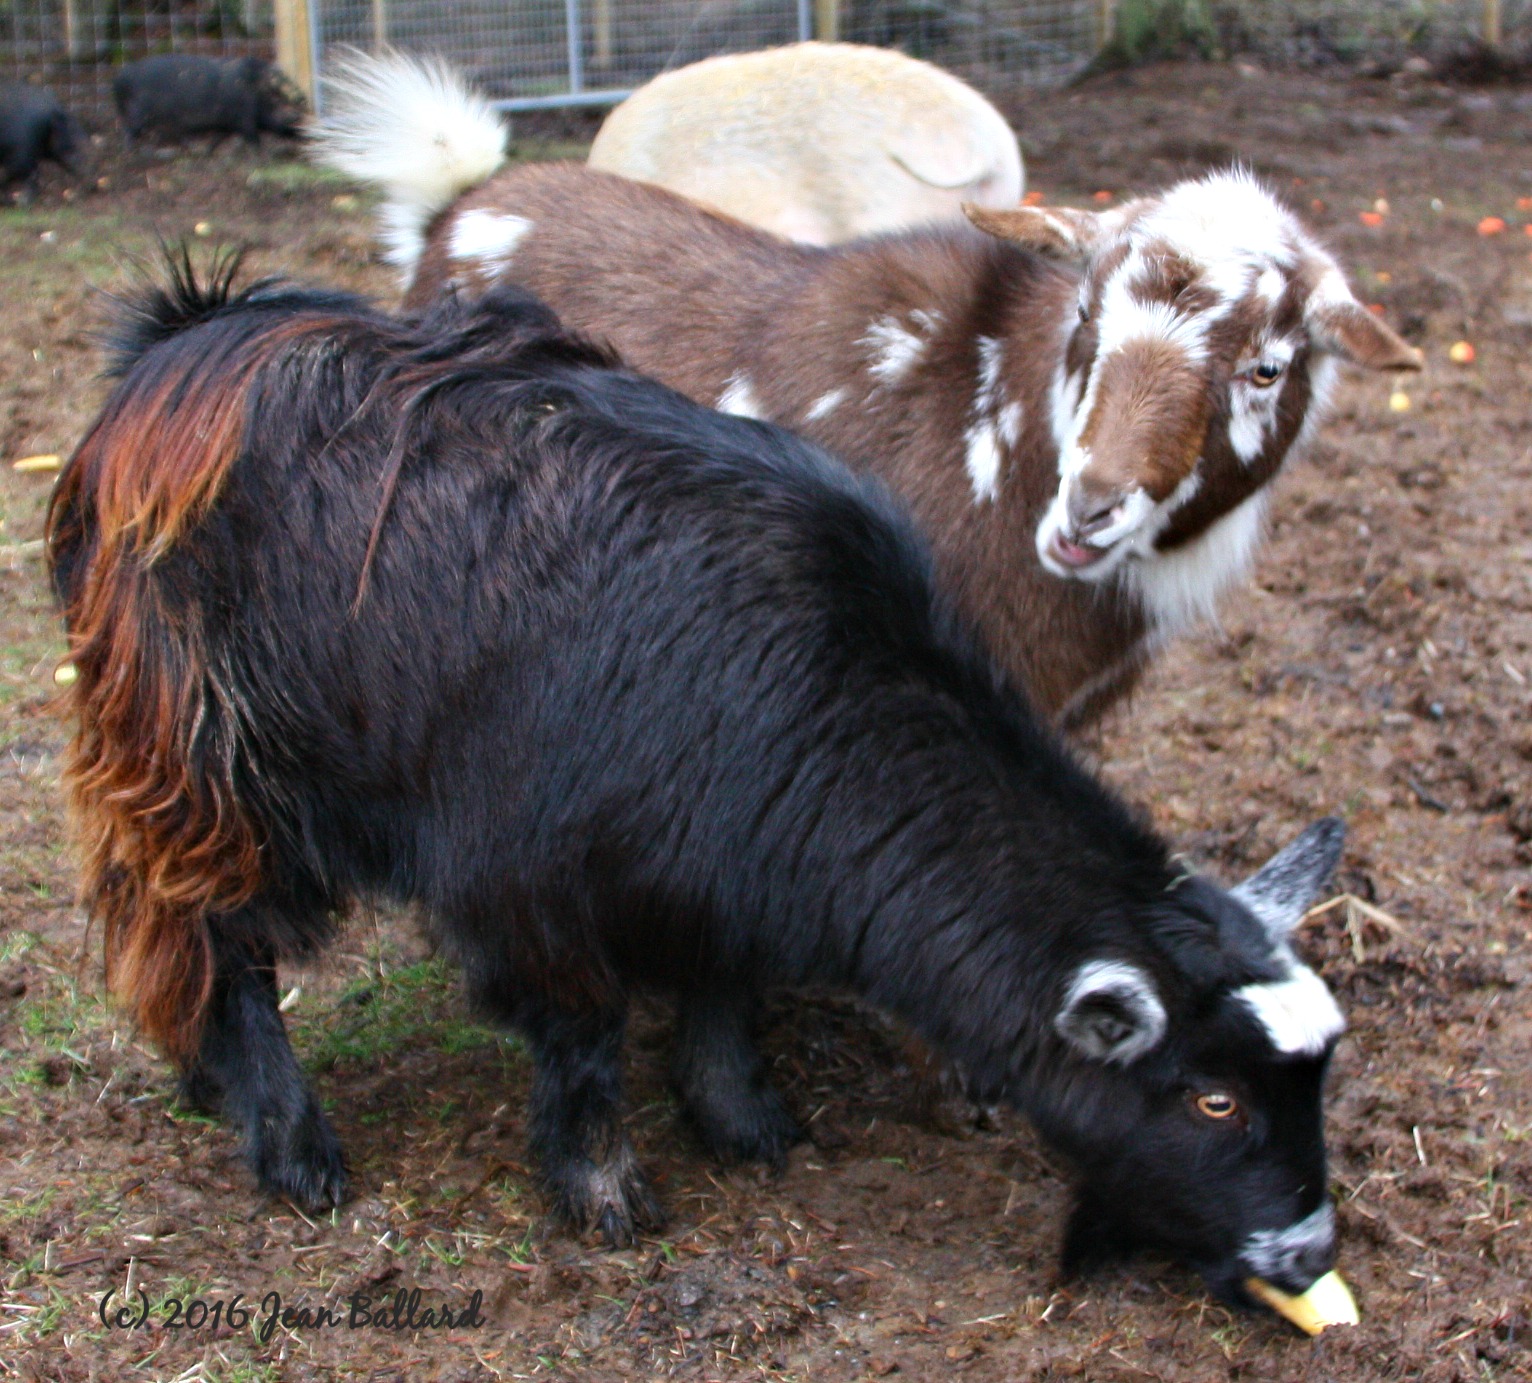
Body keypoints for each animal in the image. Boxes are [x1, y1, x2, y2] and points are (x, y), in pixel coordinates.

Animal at [52, 258, 1350, 1305]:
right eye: (1212, 1099)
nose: (1307, 1253)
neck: (805, 696)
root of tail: (181, 343)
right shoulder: (526, 882)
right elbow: (583, 1036)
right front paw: (604, 1191)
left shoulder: (719, 862)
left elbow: (724, 988)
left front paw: (741, 1121)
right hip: (202, 762)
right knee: (212, 933)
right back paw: (286, 1141)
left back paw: (207, 1081)